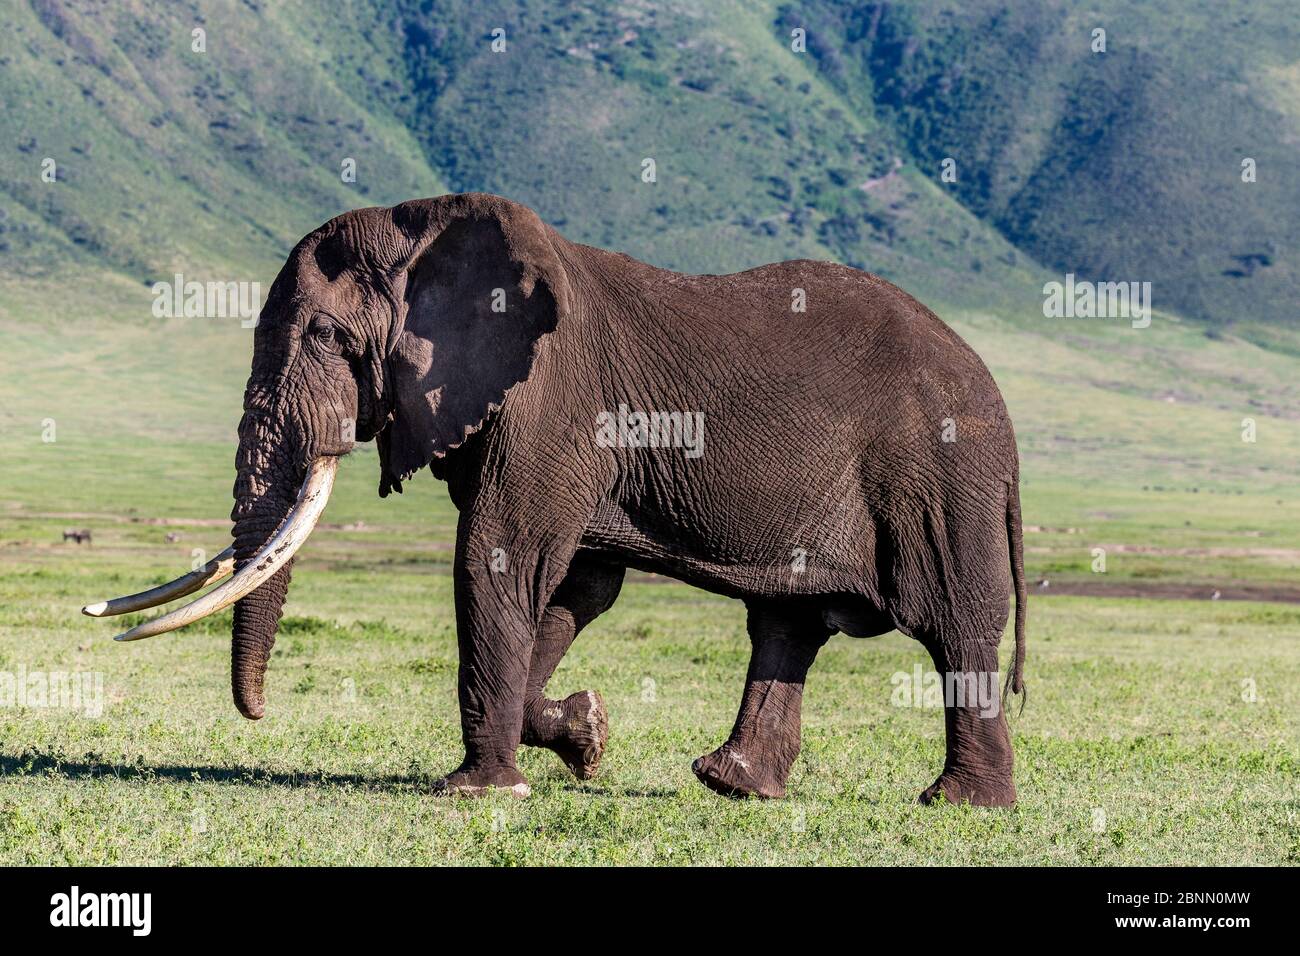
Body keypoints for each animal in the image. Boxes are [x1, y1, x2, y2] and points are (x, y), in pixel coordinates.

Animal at [85, 192, 1027, 805]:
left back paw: (959, 805)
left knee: (952, 621)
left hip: (939, 481)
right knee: (786, 625)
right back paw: (732, 785)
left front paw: (476, 792)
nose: (258, 713)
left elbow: (499, 557)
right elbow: (574, 587)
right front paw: (586, 734)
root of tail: (999, 400)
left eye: (325, 335)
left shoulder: (551, 400)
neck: (426, 231)